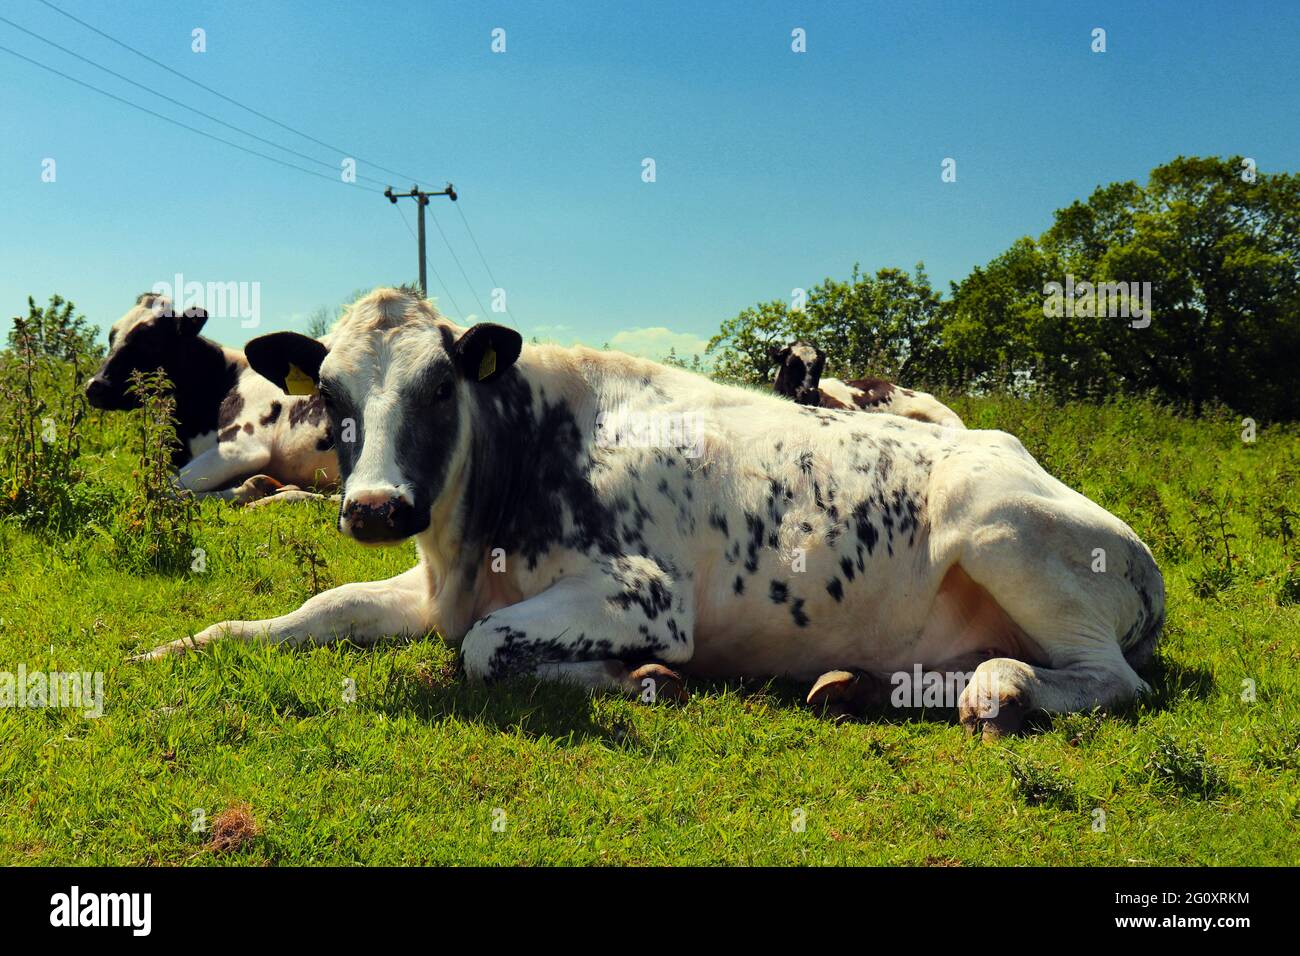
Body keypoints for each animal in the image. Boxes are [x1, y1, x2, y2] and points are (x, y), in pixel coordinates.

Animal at [86, 292, 338, 504]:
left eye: (150, 341)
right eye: (111, 336)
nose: (94, 386)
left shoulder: (242, 448)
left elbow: (160, 488)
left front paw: (255, 487)